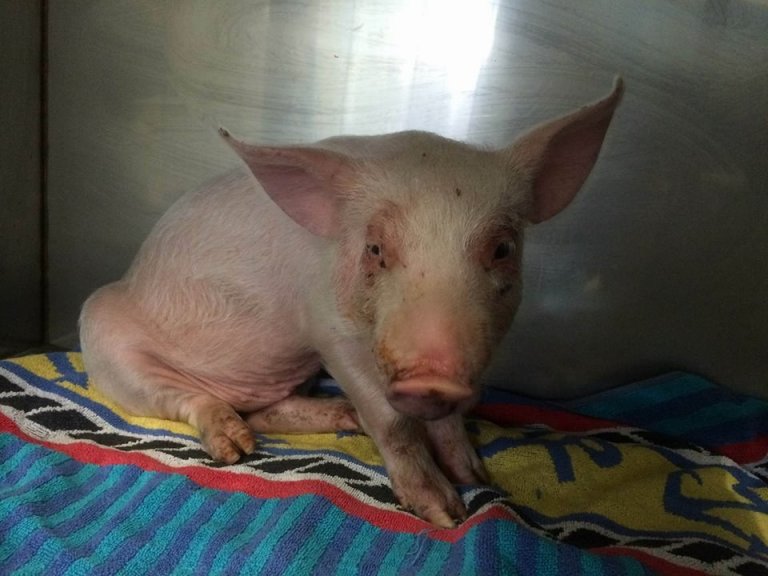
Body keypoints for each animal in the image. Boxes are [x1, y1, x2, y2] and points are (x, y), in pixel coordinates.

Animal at [79, 79, 623, 528]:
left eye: (503, 249)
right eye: (376, 249)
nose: (431, 377)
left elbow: (446, 421)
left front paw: (478, 478)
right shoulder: (326, 327)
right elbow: (391, 419)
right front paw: (444, 515)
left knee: (266, 410)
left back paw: (336, 417)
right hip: (104, 337)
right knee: (190, 401)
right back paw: (235, 449)